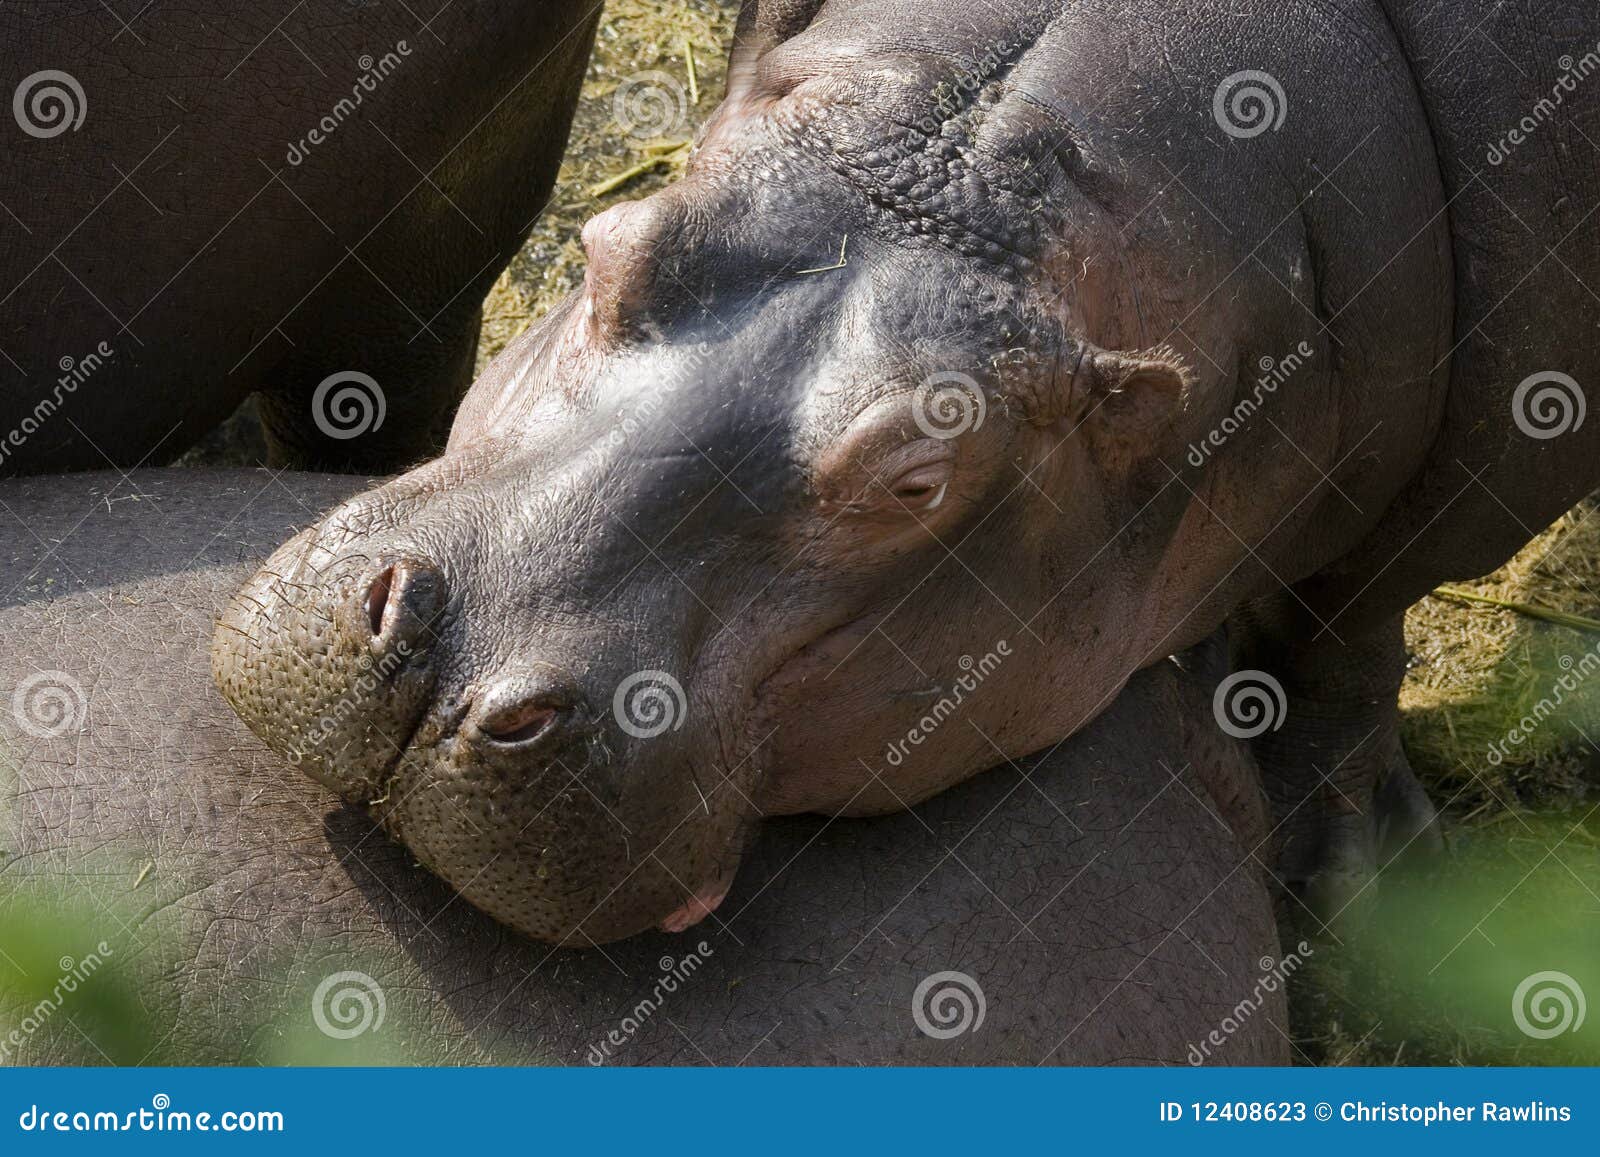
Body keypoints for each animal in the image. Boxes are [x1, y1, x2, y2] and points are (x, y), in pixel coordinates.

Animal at [213, 0, 1599, 944]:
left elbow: (1348, 626)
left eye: (918, 483)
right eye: (613, 243)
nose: (442, 667)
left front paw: (1354, 878)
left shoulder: (1488, 480)